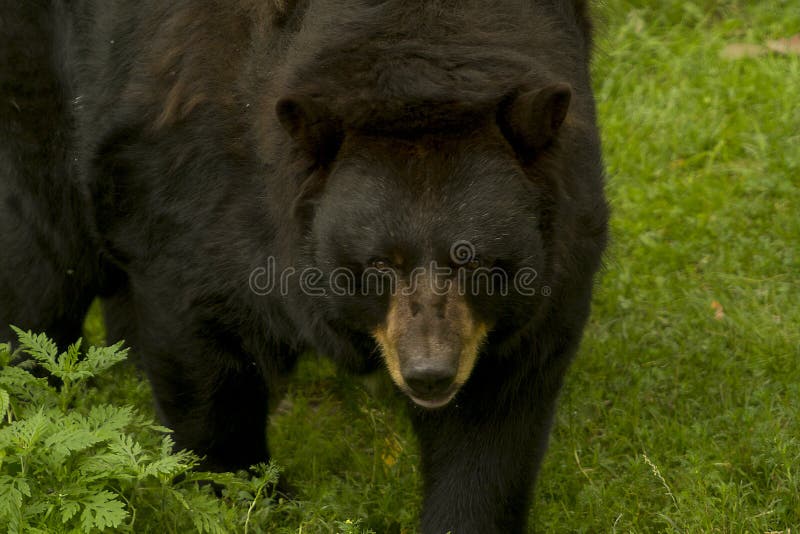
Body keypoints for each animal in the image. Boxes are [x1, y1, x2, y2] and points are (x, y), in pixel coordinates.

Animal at [0, 1, 608, 532]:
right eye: (379, 264)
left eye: (474, 260)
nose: (429, 373)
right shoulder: (202, 168)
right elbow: (200, 343)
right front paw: (253, 498)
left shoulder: (552, 252)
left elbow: (496, 421)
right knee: (46, 260)